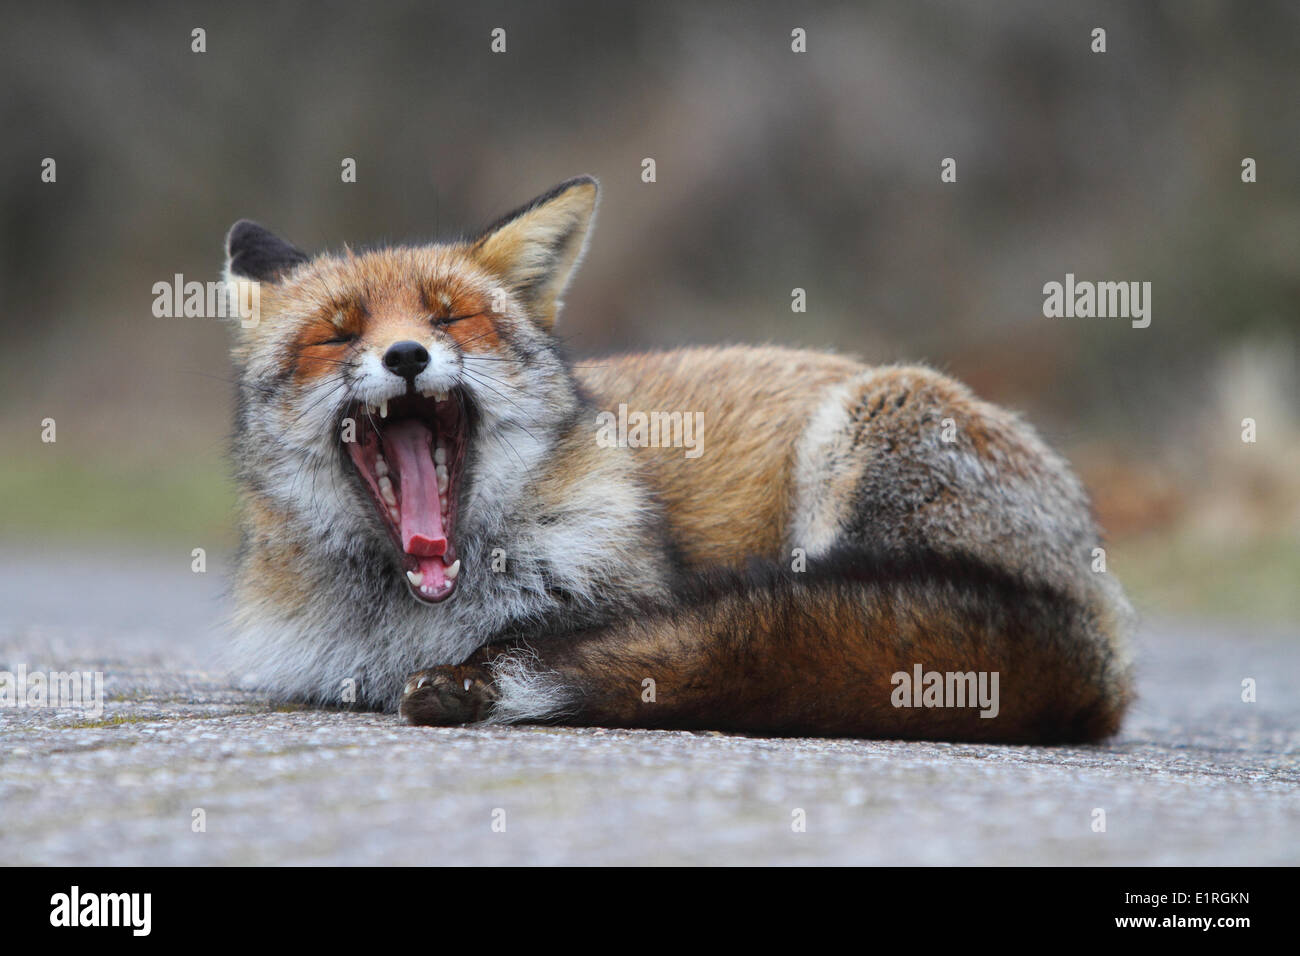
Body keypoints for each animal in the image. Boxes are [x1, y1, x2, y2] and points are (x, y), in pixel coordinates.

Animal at [223, 175, 1134, 743]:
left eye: (452, 320)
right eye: (338, 335)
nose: (407, 355)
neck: (409, 617)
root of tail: (1105, 636)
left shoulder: (628, 600)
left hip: (866, 433)